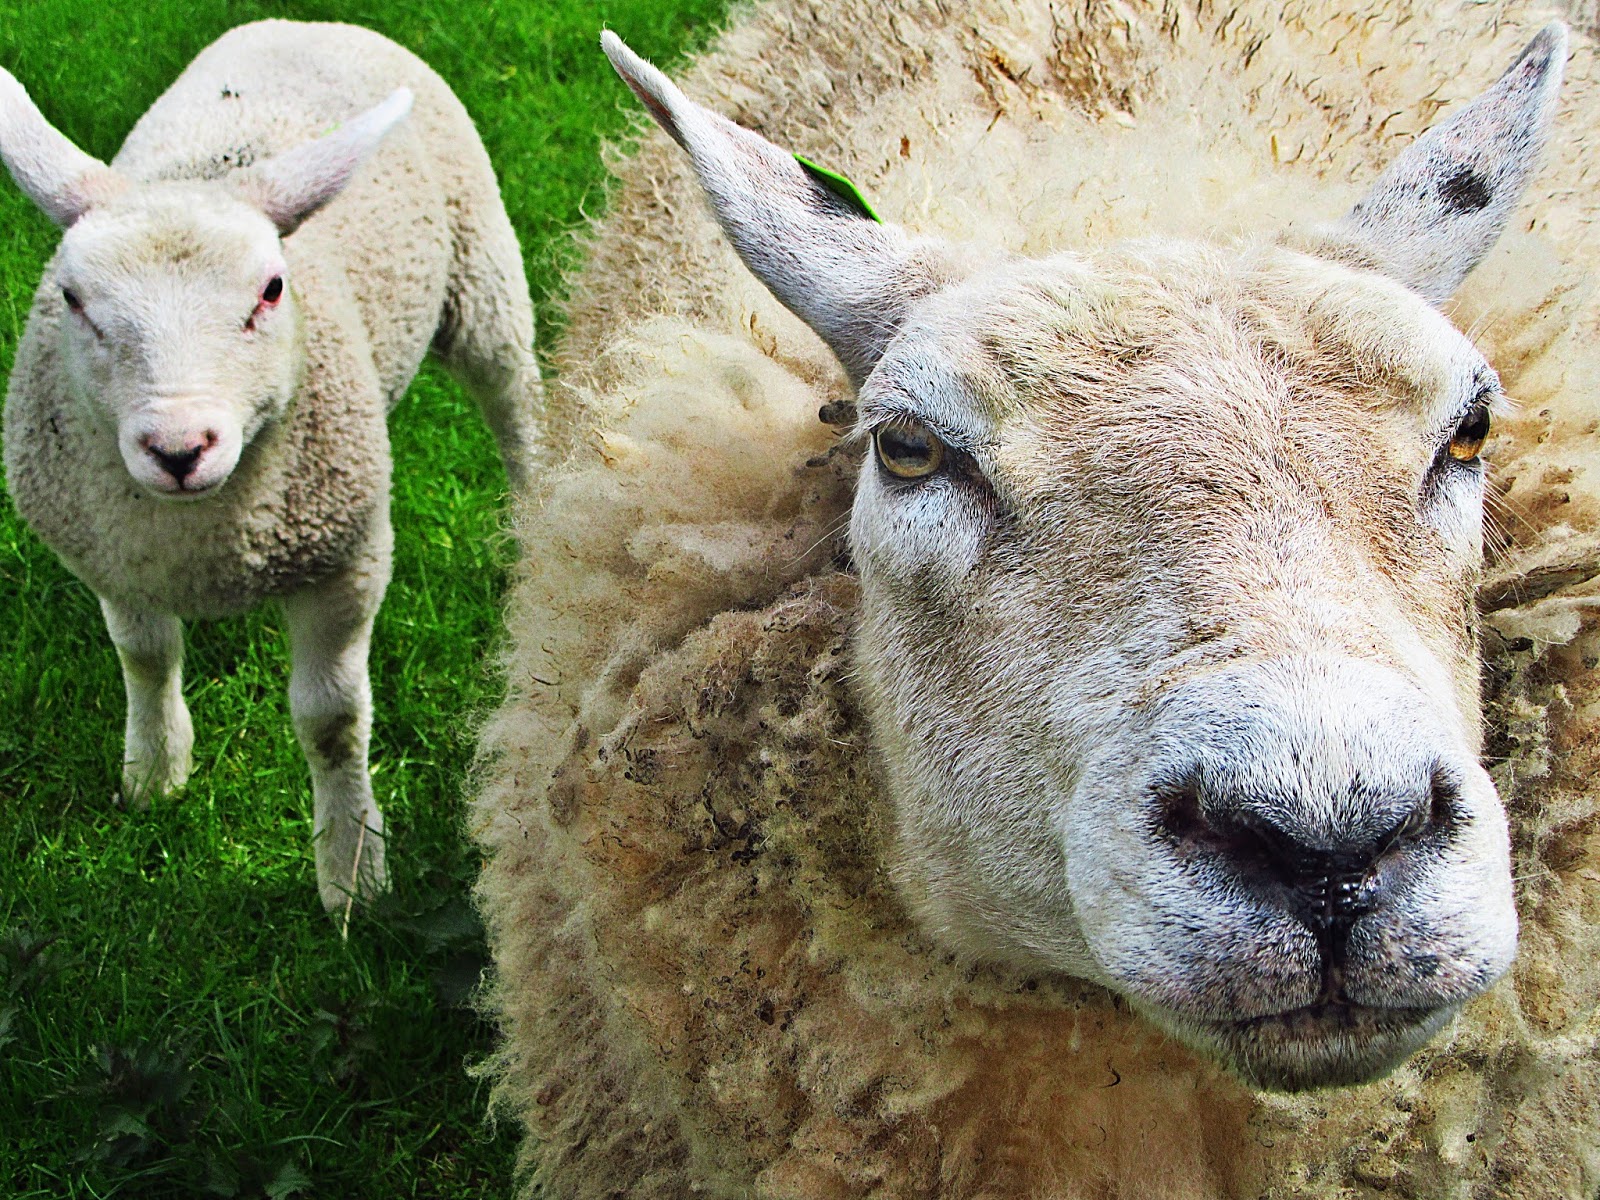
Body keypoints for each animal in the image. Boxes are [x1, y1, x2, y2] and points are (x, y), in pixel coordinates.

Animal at [0, 20, 542, 914]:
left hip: (482, 281)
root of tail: (307, 24)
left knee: (515, 403)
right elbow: (144, 657)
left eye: (272, 290)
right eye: (74, 301)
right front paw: (154, 772)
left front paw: (352, 872)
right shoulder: (111, 555)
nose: (178, 448)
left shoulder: (345, 560)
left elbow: (331, 723)